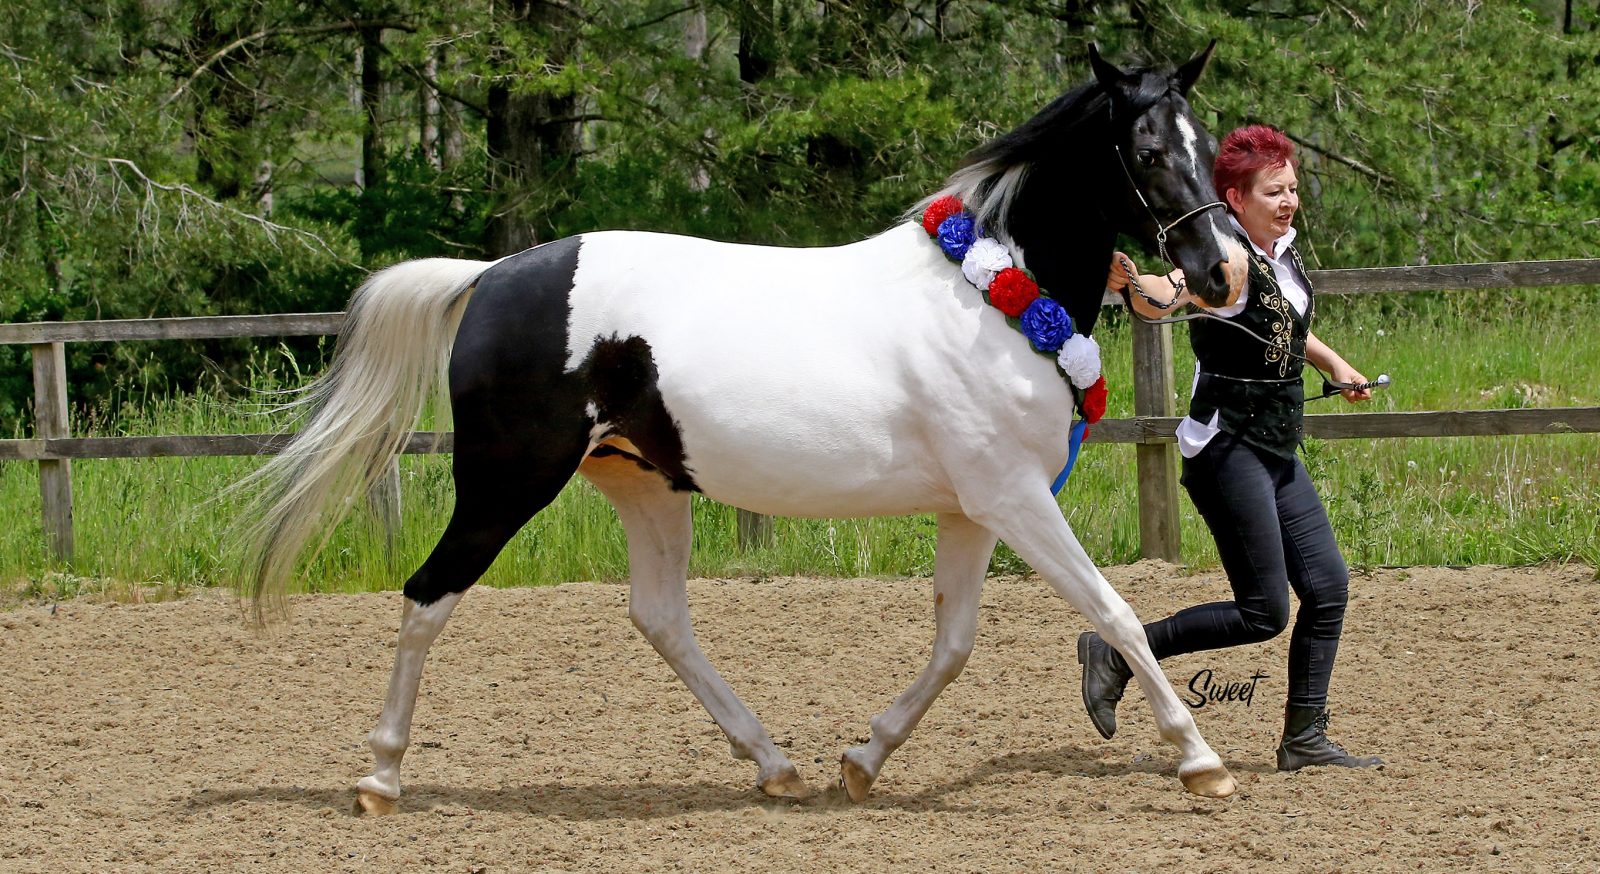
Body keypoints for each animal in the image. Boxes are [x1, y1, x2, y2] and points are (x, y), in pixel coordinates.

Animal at [240, 43, 1250, 815]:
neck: (992, 298)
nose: (1221, 272)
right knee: (426, 596)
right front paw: (1200, 761)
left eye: (1208, 147)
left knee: (659, 616)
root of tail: (490, 276)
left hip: (643, 484)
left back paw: (774, 764)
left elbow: (956, 642)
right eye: (1147, 151)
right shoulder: (1013, 499)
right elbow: (1112, 609)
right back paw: (380, 777)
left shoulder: (973, 508)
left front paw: (863, 760)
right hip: (504, 483)